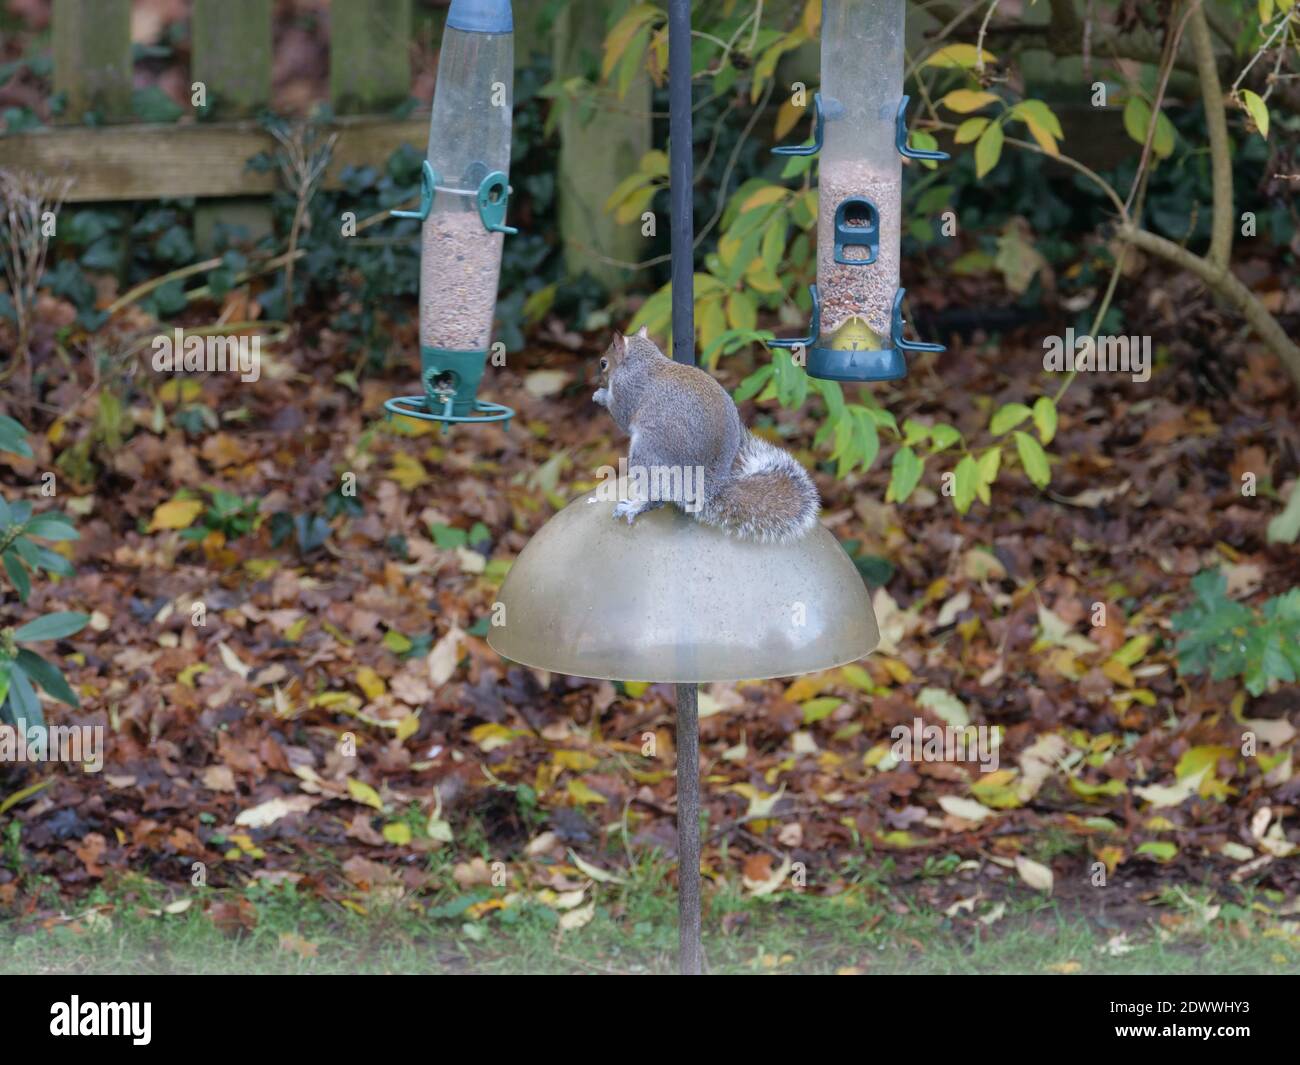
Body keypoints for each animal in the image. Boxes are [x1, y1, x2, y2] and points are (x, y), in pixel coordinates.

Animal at [592, 327, 819, 543]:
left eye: (603, 363)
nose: (599, 381)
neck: (641, 361)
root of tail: (706, 487)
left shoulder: (627, 392)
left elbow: (621, 417)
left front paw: (601, 396)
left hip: (646, 456)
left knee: (655, 496)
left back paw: (635, 506)